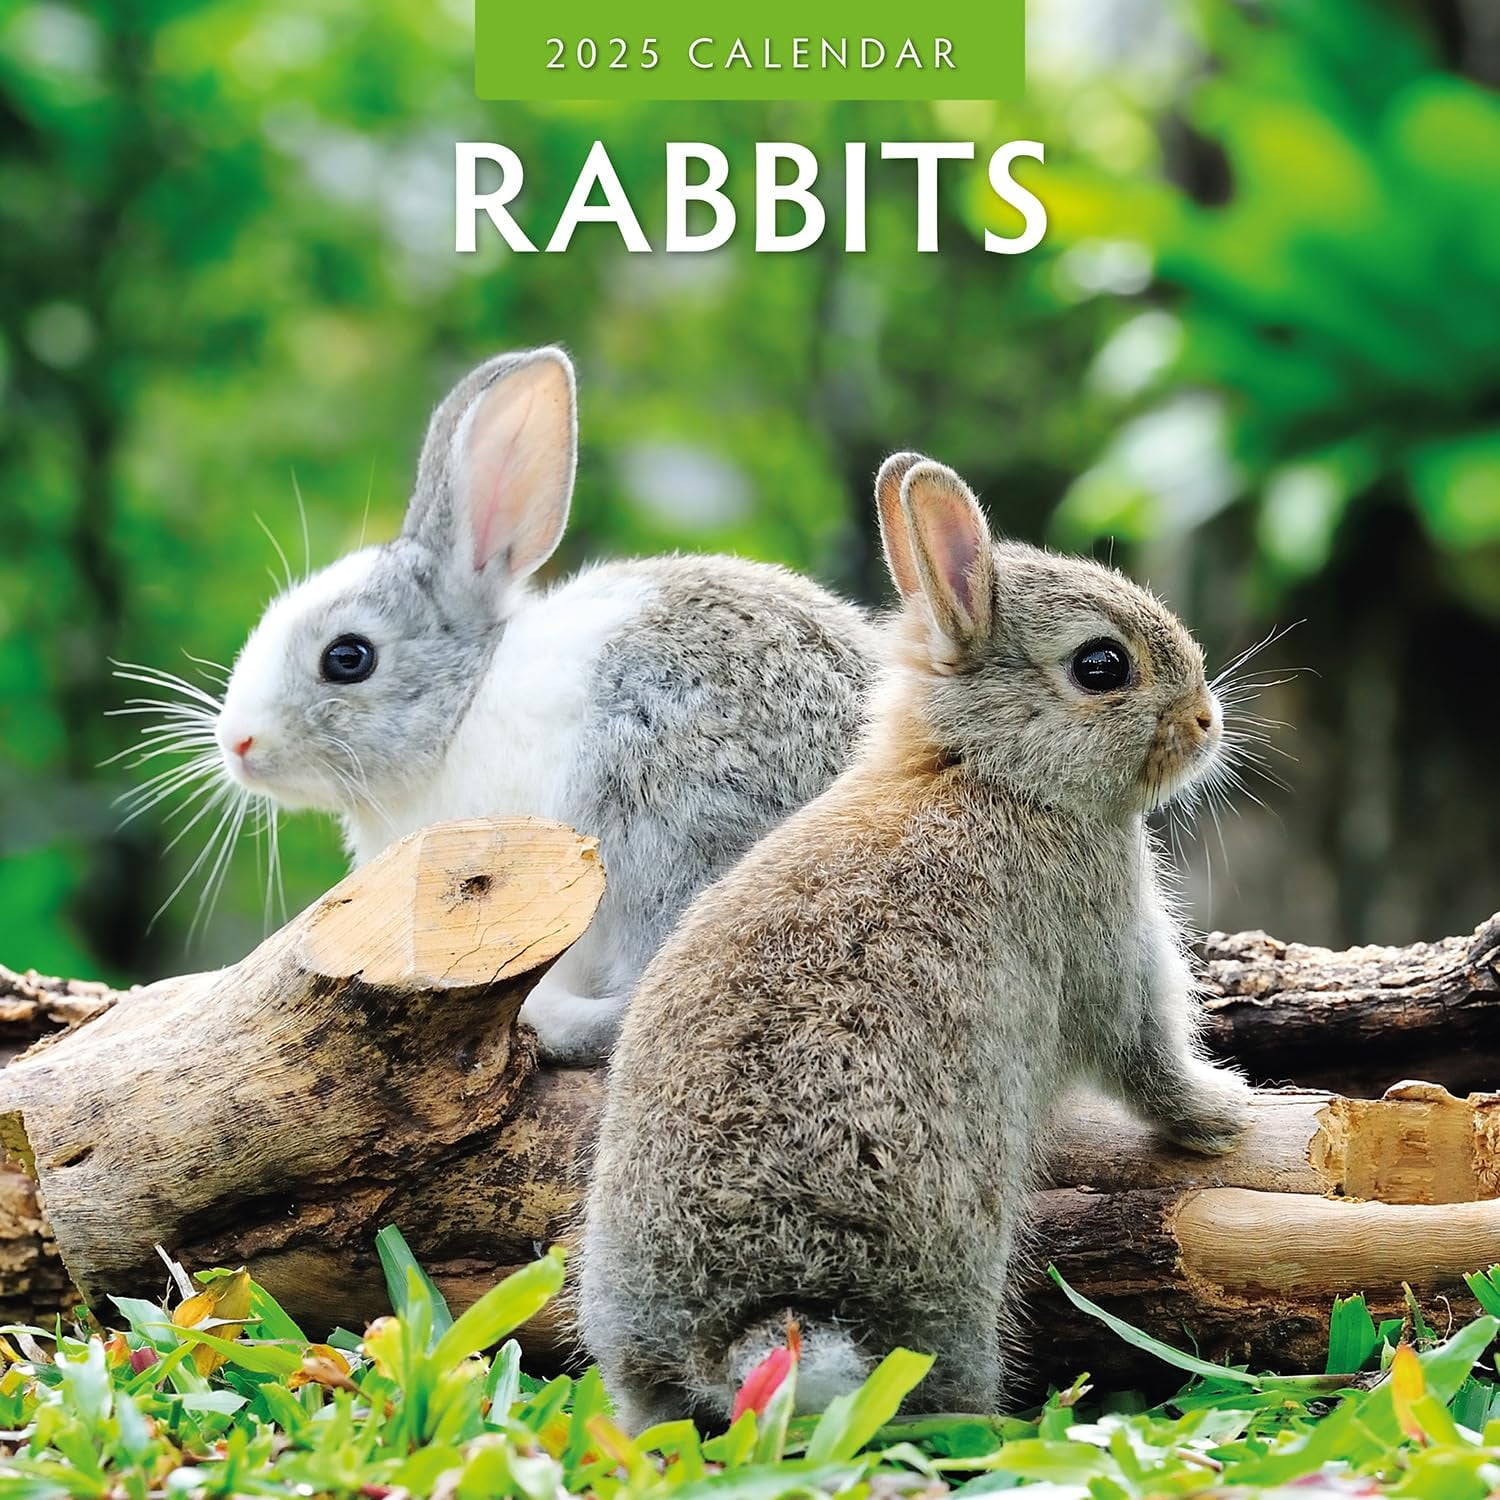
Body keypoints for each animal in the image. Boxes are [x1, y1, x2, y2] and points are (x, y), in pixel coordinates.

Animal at [579, 452, 1253, 1431]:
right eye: (1102, 666)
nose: (1206, 721)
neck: (989, 773)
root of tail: (741, 1329)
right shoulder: (1106, 945)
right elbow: (1147, 1060)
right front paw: (1225, 1114)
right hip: (949, 1276)